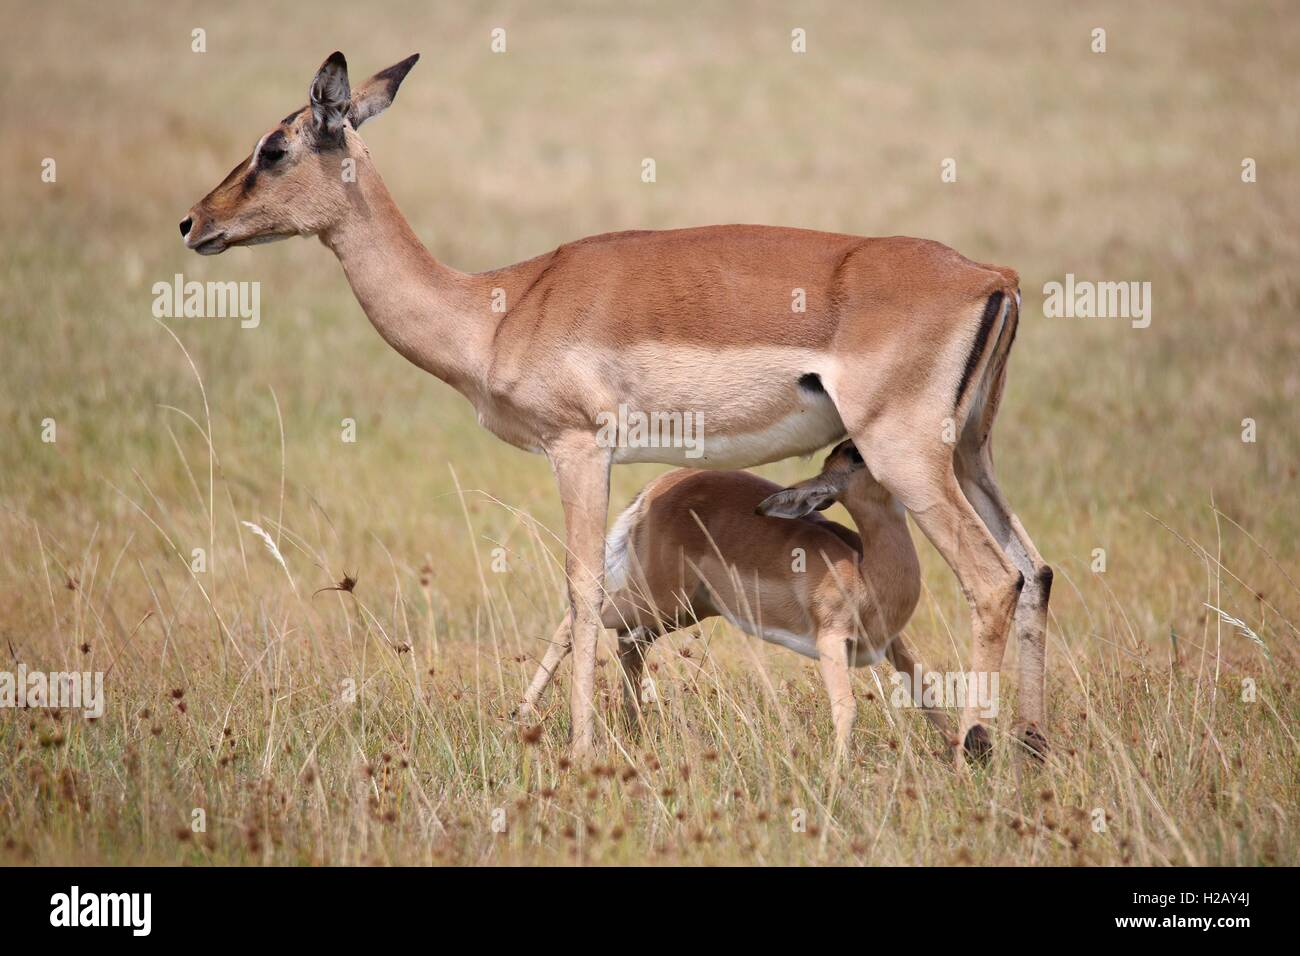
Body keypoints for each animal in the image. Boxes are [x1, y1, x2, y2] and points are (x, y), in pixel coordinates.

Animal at [517, 440, 948, 754]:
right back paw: (522, 716)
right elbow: (847, 708)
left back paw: (635, 730)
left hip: (682, 611)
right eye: (856, 454)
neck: (864, 570)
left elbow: (930, 697)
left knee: (628, 643)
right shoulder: (831, 640)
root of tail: (654, 490)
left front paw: (962, 761)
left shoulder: (893, 643)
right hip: (660, 601)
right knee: (578, 617)